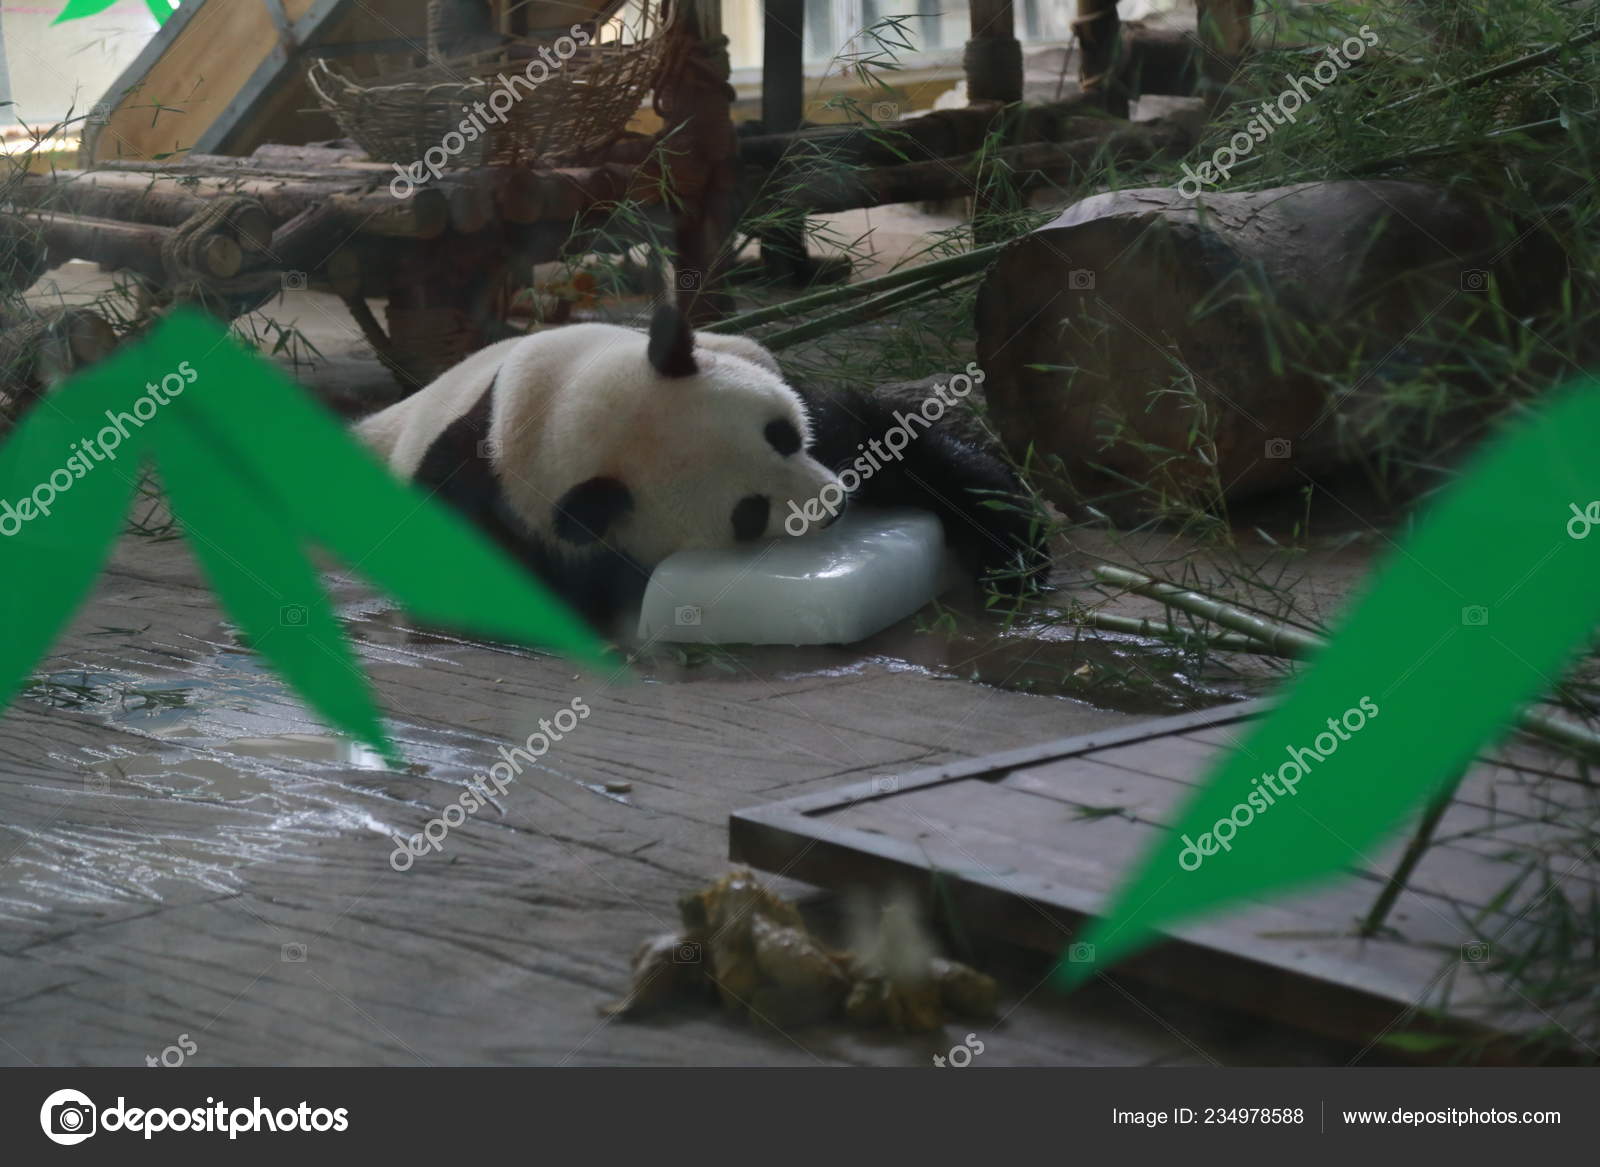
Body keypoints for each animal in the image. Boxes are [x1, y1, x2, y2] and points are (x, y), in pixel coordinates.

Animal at [356, 305, 1043, 635]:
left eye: (782, 435)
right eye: (748, 513)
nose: (833, 506)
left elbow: (886, 437)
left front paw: (1007, 548)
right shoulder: (476, 507)